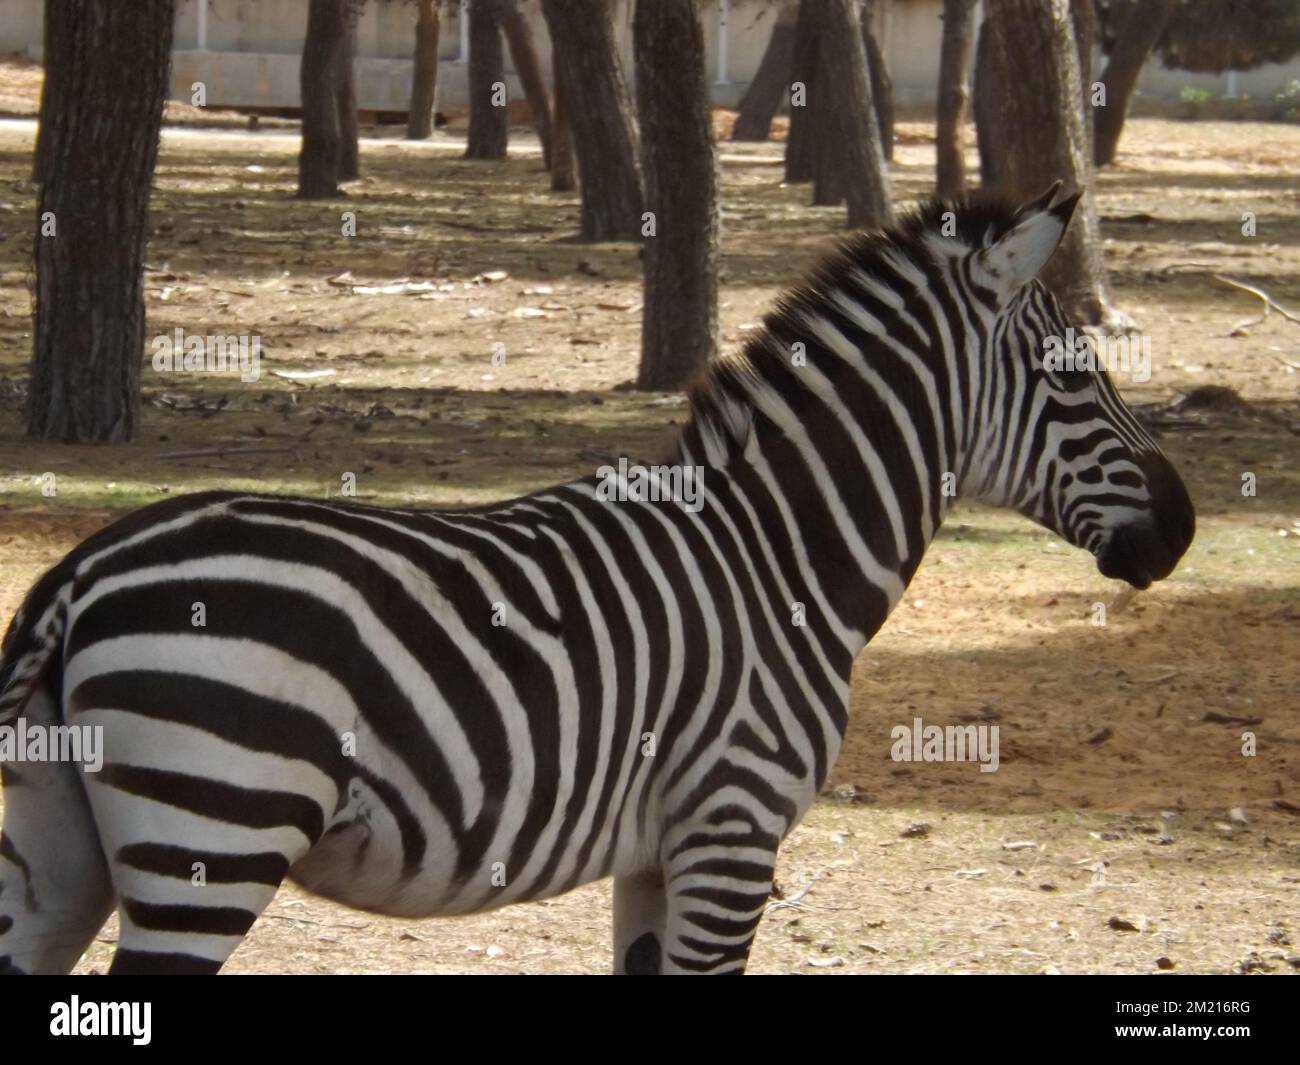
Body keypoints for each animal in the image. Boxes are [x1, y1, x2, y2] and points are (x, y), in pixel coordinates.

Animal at [0, 185, 1194, 975]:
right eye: (1074, 377)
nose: (1181, 527)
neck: (779, 554)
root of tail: (81, 573)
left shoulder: (656, 854)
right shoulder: (731, 828)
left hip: (61, 854)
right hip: (212, 832)